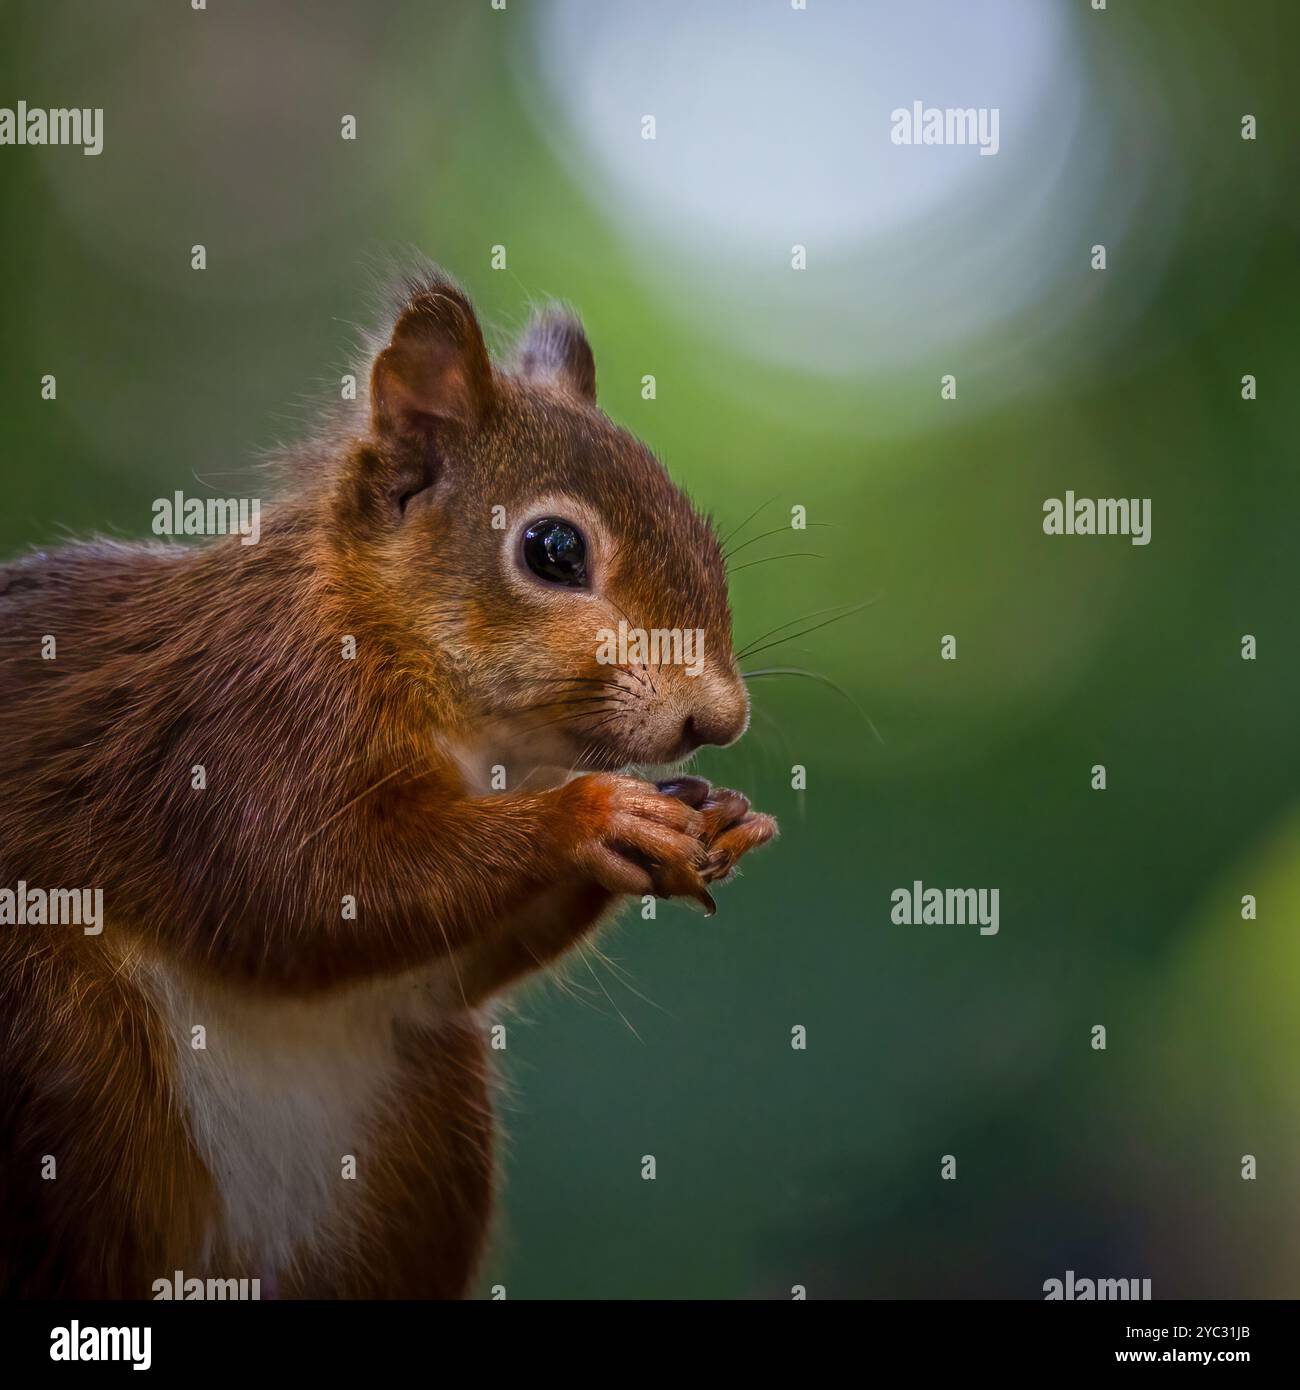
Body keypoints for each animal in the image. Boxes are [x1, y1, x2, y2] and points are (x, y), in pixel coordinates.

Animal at [0, 266, 777, 1299]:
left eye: (710, 544)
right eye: (554, 550)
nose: (719, 720)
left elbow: (438, 962)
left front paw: (711, 817)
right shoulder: (238, 723)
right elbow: (297, 890)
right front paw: (589, 814)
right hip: (63, 1043)